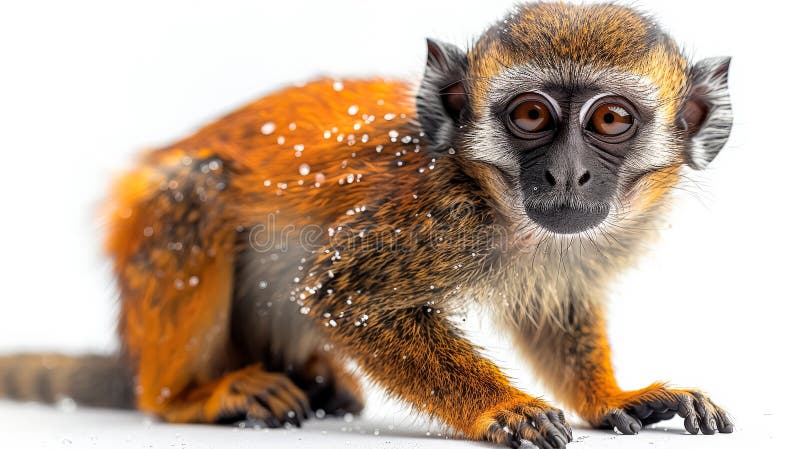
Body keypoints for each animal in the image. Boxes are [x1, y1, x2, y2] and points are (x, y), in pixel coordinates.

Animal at [0, 2, 735, 448]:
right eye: (531, 115)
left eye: (610, 120)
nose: (566, 176)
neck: (492, 199)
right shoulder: (431, 215)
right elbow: (342, 295)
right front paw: (498, 407)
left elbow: (557, 306)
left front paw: (613, 395)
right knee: (194, 188)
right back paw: (187, 396)